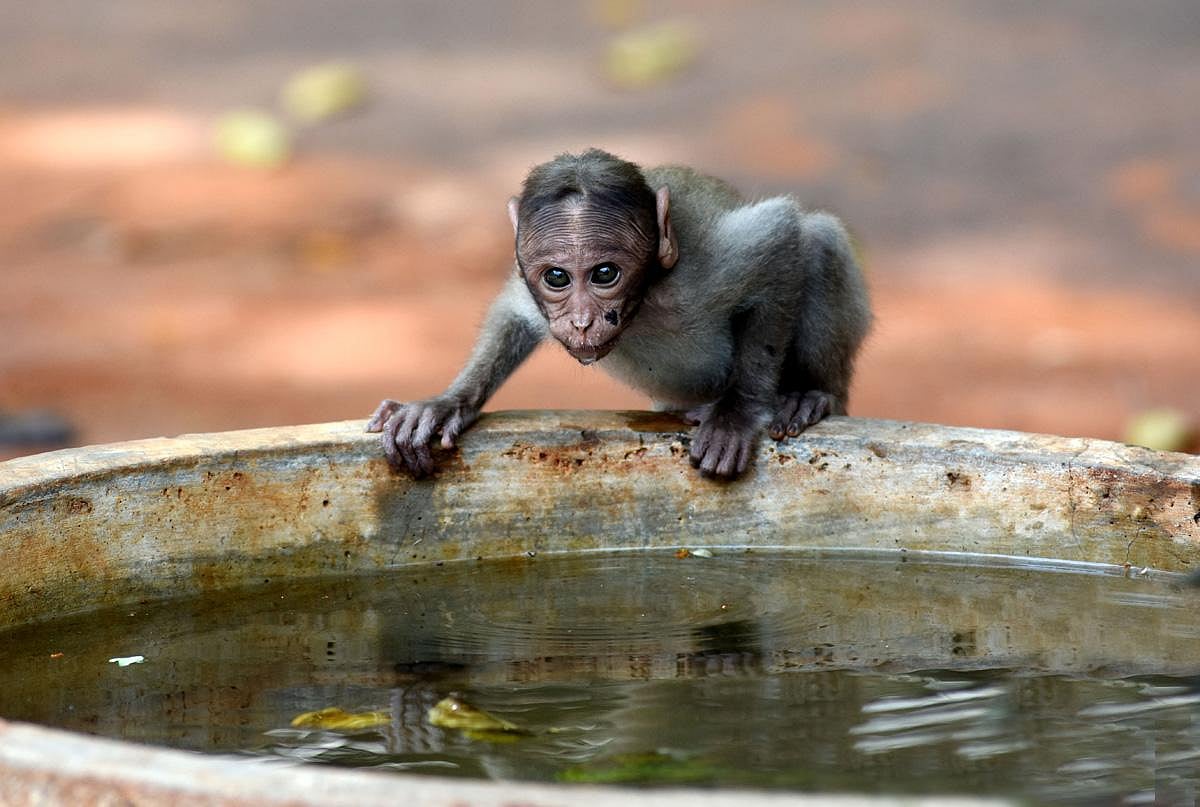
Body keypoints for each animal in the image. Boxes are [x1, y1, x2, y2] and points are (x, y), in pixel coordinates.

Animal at [367, 148, 871, 479]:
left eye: (605, 273)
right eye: (557, 277)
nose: (582, 321)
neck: (643, 304)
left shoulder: (704, 268)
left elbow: (784, 238)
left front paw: (738, 414)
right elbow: (513, 309)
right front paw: (447, 404)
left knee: (818, 236)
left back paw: (810, 396)